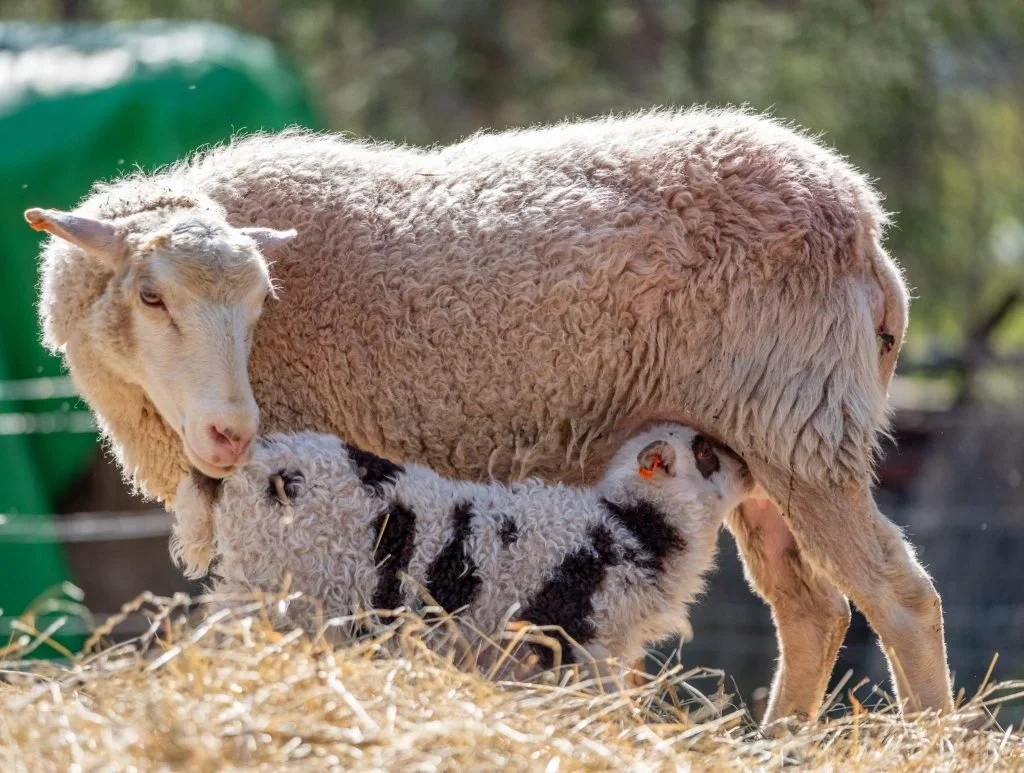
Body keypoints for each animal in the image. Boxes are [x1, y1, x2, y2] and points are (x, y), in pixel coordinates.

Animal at [171, 423, 754, 677]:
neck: (633, 525)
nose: (749, 467)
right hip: (270, 587)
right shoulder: (576, 636)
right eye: (706, 453)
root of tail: (248, 466)